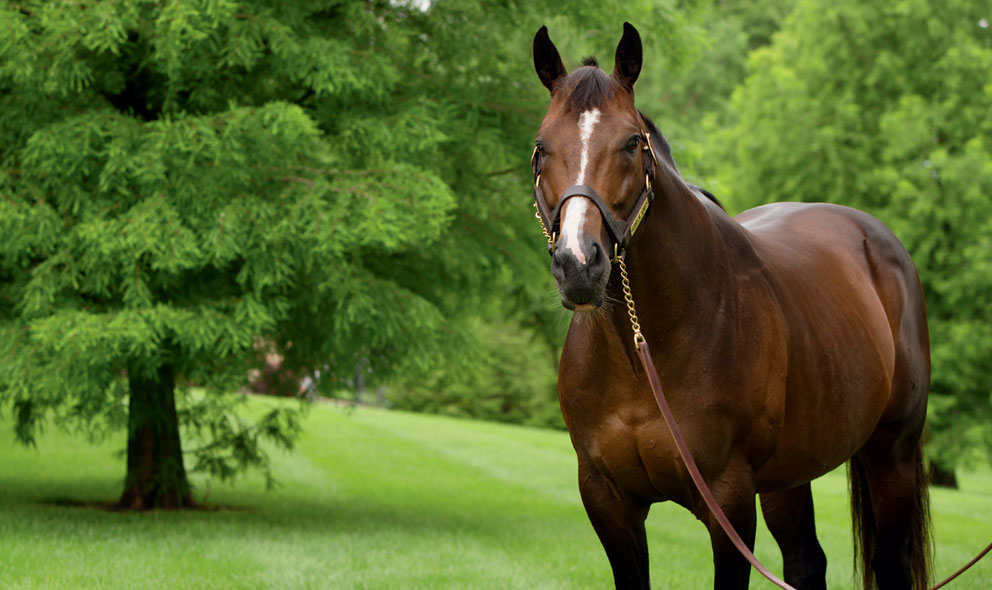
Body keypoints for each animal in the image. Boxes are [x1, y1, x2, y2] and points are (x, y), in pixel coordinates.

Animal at [530, 23, 931, 590]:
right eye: (541, 148)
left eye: (632, 143)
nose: (579, 264)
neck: (643, 357)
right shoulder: (608, 501)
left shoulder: (729, 500)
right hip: (790, 473)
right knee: (806, 561)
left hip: (890, 453)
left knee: (890, 563)